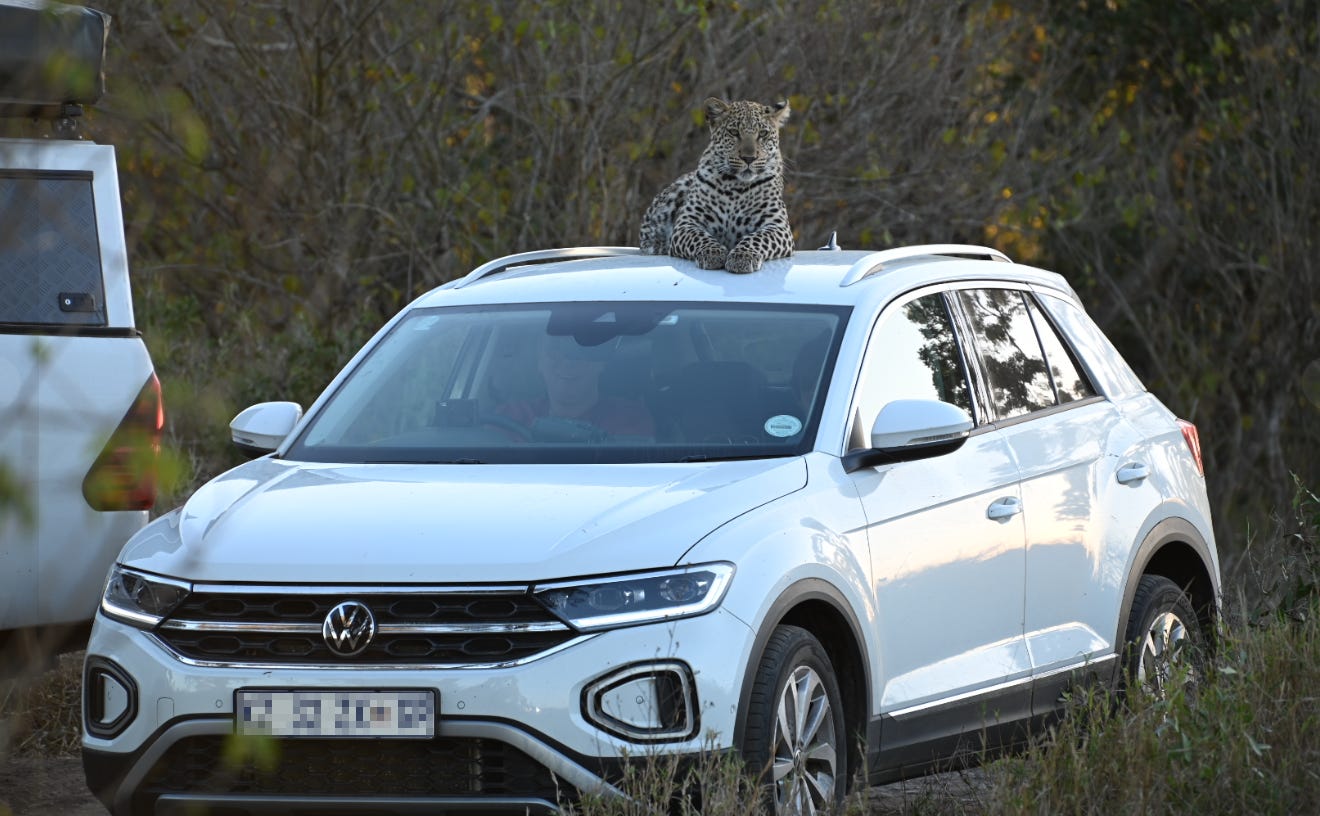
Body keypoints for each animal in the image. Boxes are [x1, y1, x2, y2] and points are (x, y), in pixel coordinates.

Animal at [639, 97, 795, 274]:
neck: (735, 185)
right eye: (734, 132)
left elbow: (757, 238)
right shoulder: (688, 222)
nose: (749, 158)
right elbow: (699, 238)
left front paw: (742, 256)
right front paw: (713, 253)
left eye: (763, 133)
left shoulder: (777, 225)